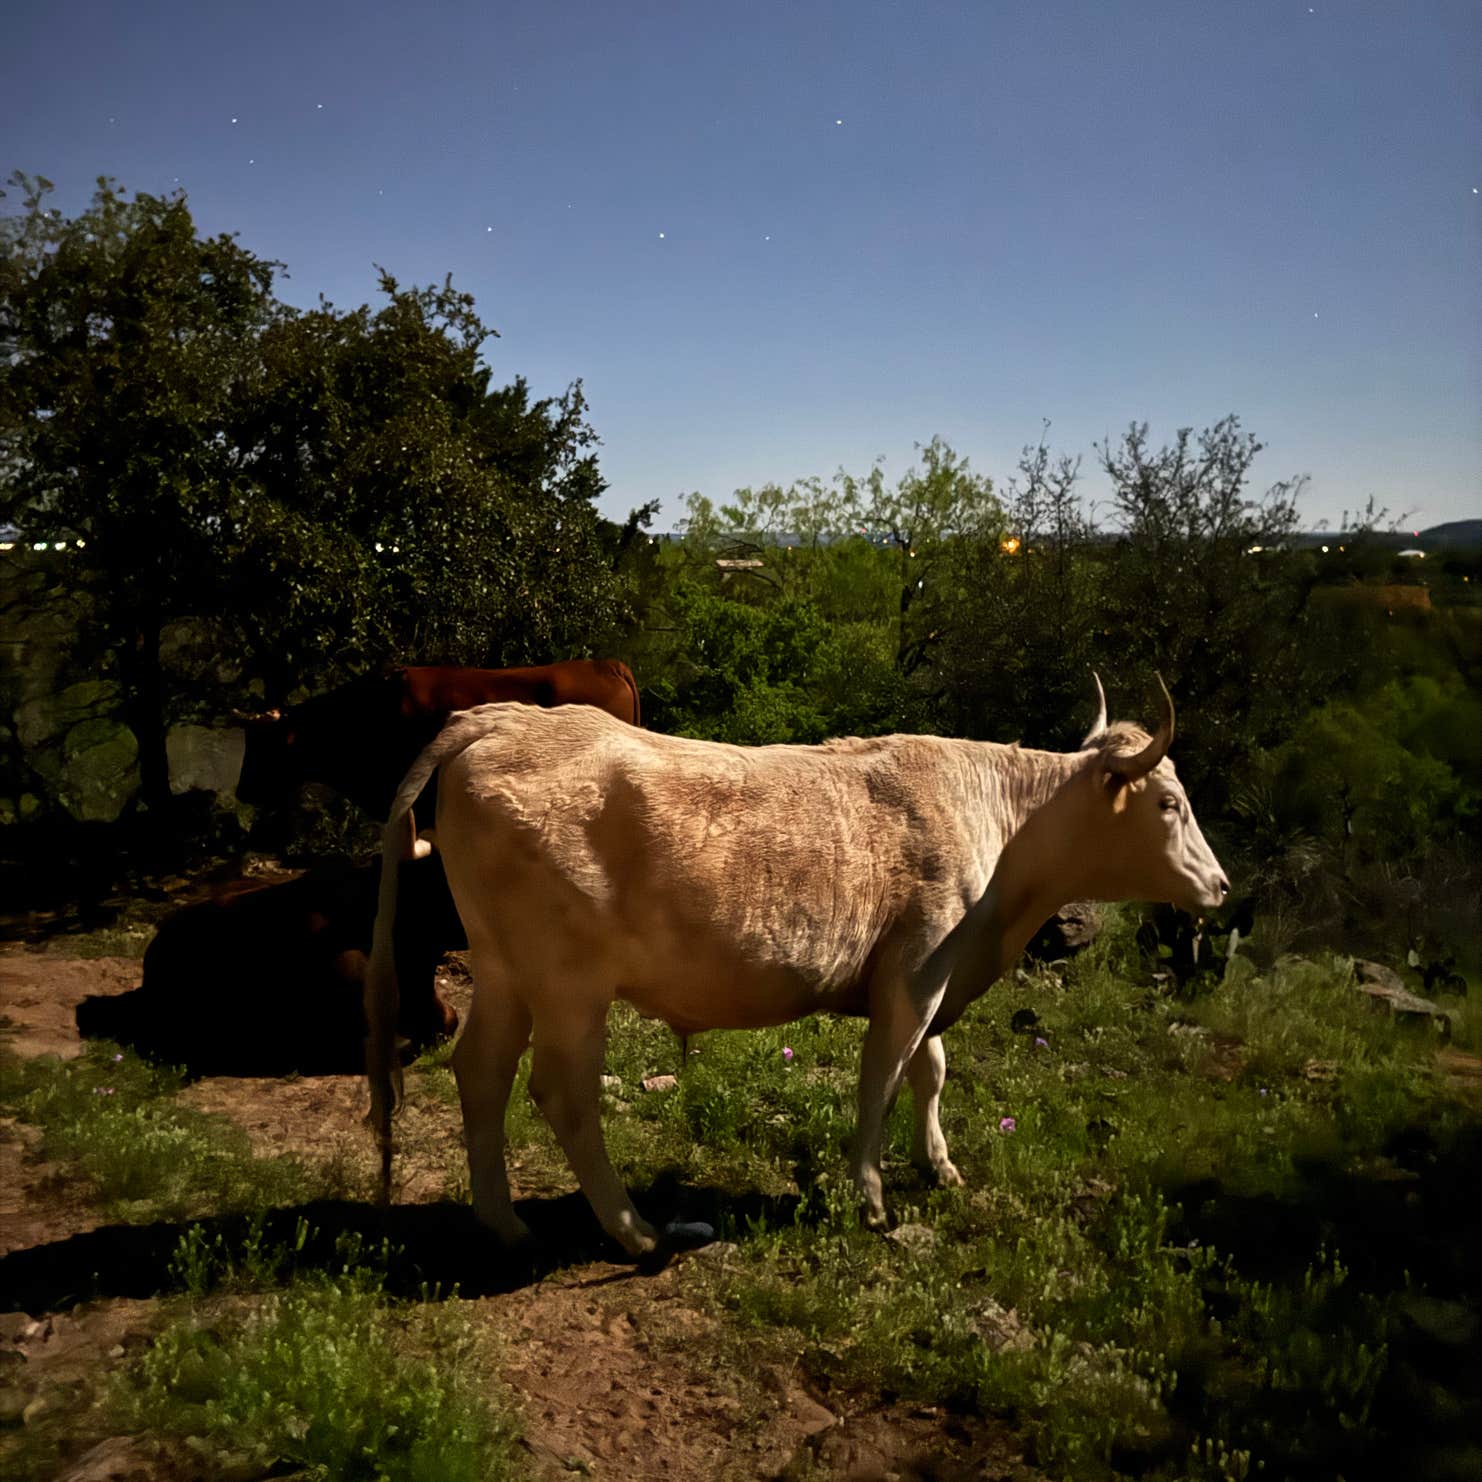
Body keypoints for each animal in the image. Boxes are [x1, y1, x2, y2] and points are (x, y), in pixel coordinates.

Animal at [364, 676, 1228, 1256]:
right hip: (570, 984)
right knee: (563, 1093)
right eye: (1169, 805)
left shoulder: (931, 975)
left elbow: (931, 1072)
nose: (1220, 886)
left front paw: (940, 1166)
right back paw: (634, 1231)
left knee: (481, 1070)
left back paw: (503, 1220)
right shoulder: (916, 973)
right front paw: (871, 1197)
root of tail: (502, 716)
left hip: (505, 969)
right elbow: (883, 1079)